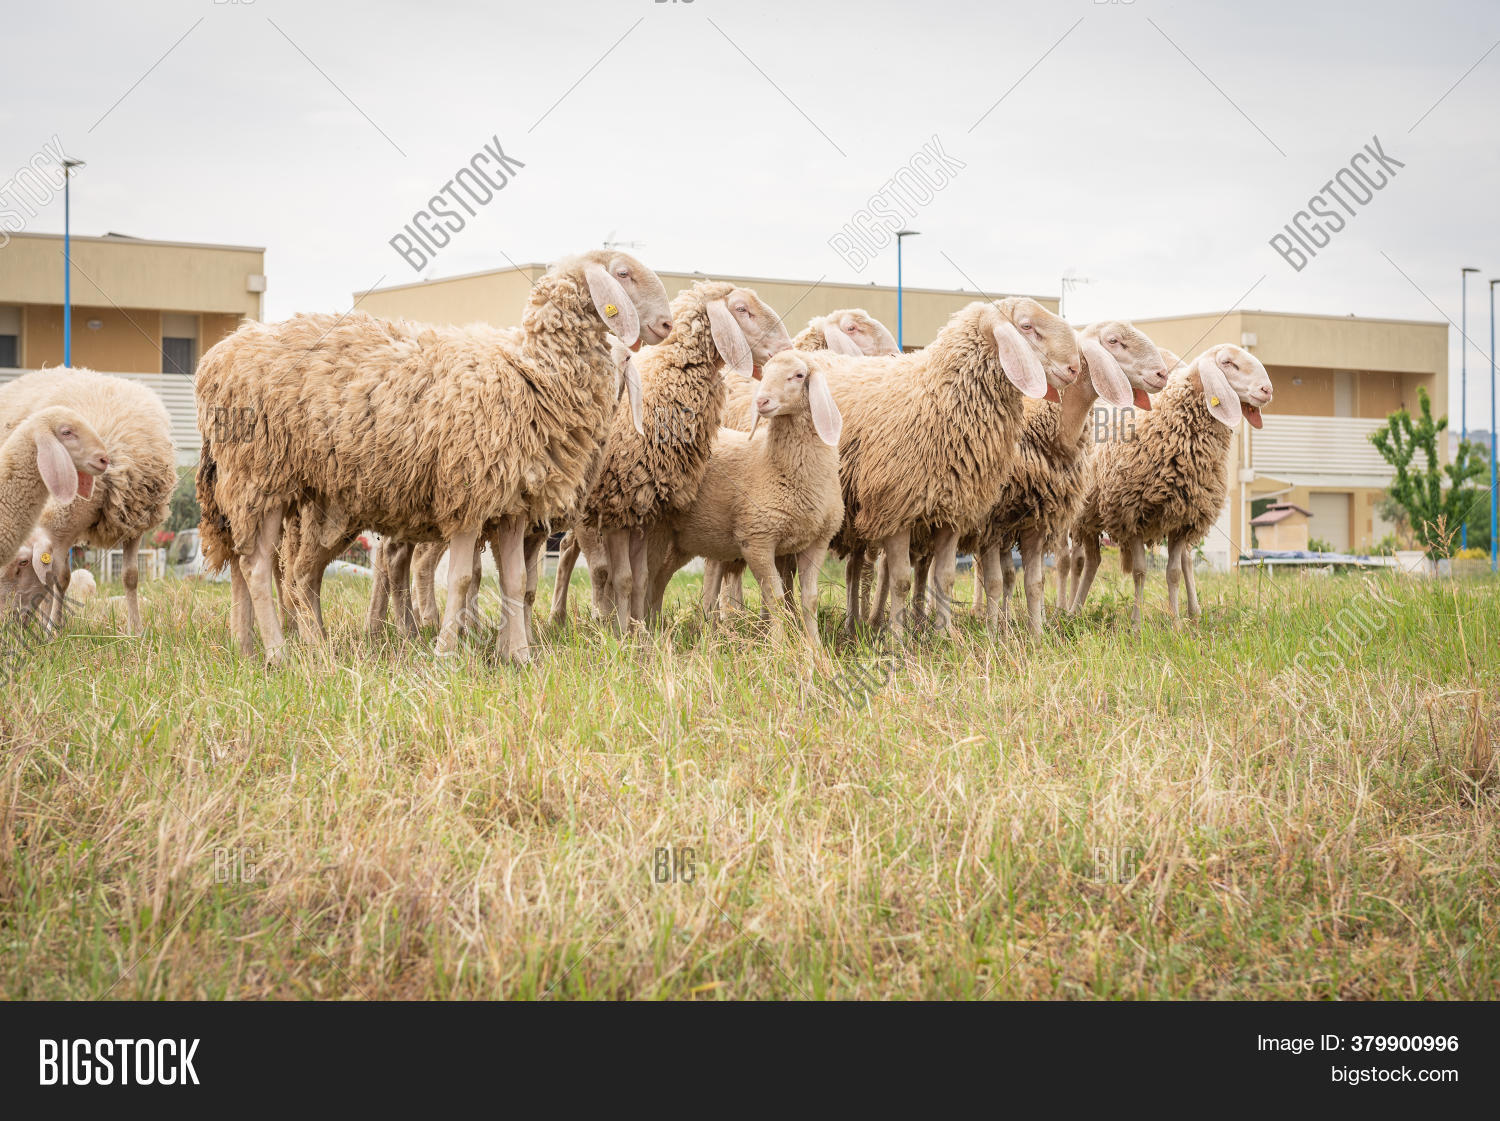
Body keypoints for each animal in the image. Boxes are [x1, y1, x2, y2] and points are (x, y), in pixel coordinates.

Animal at [0, 370, 172, 632]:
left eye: (22, 563)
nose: (8, 621)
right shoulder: (61, 529)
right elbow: (60, 579)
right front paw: (53, 628)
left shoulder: (134, 527)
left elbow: (130, 576)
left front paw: (136, 631)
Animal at [195, 249, 671, 666]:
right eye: (623, 273)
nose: (666, 324)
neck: (532, 373)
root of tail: (219, 354)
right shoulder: (470, 493)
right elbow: (461, 579)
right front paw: (445, 653)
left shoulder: (511, 505)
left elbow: (515, 581)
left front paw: (519, 657)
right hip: (258, 474)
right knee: (259, 566)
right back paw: (280, 653)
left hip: (290, 493)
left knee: (278, 568)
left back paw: (266, 647)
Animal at [580, 280, 791, 632]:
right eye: (742, 309)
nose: (786, 350)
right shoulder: (618, 504)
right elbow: (622, 577)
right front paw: (623, 632)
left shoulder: (646, 509)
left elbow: (641, 576)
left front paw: (640, 629)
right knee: (591, 568)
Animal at [646, 348, 844, 644]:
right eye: (765, 372)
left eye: (799, 375)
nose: (762, 401)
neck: (772, 461)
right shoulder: (756, 539)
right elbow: (774, 597)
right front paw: (778, 646)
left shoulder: (817, 542)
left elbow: (809, 599)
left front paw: (815, 649)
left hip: (681, 543)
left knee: (658, 580)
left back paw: (655, 627)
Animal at [1067, 344, 1273, 624]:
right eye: (1228, 363)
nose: (1267, 390)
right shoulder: (1130, 513)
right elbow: (1140, 571)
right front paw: (1136, 623)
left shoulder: (1183, 518)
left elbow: (1173, 572)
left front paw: (1176, 622)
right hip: (1085, 515)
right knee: (1085, 562)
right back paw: (1071, 609)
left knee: (1183, 560)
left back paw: (1194, 612)